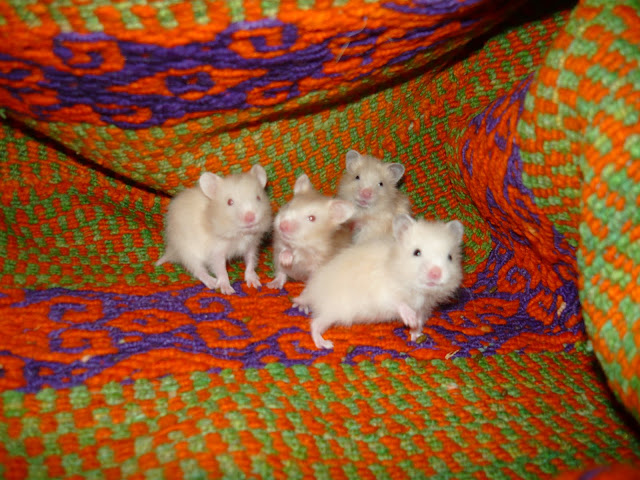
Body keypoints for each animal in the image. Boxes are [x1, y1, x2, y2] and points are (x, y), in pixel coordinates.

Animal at [156, 164, 272, 295]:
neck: (240, 234)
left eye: (258, 198)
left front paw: (255, 283)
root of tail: (171, 250)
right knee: (198, 270)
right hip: (187, 252)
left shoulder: (251, 246)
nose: (250, 217)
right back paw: (212, 282)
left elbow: (250, 262)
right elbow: (221, 270)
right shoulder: (216, 252)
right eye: (230, 202)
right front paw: (227, 290)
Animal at [294, 214, 464, 349]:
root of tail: (313, 292)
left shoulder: (423, 308)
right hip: (331, 311)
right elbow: (398, 303)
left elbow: (420, 320)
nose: (436, 274)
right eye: (417, 252)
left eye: (450, 257)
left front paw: (415, 332)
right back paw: (324, 343)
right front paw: (409, 319)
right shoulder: (383, 295)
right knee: (314, 325)